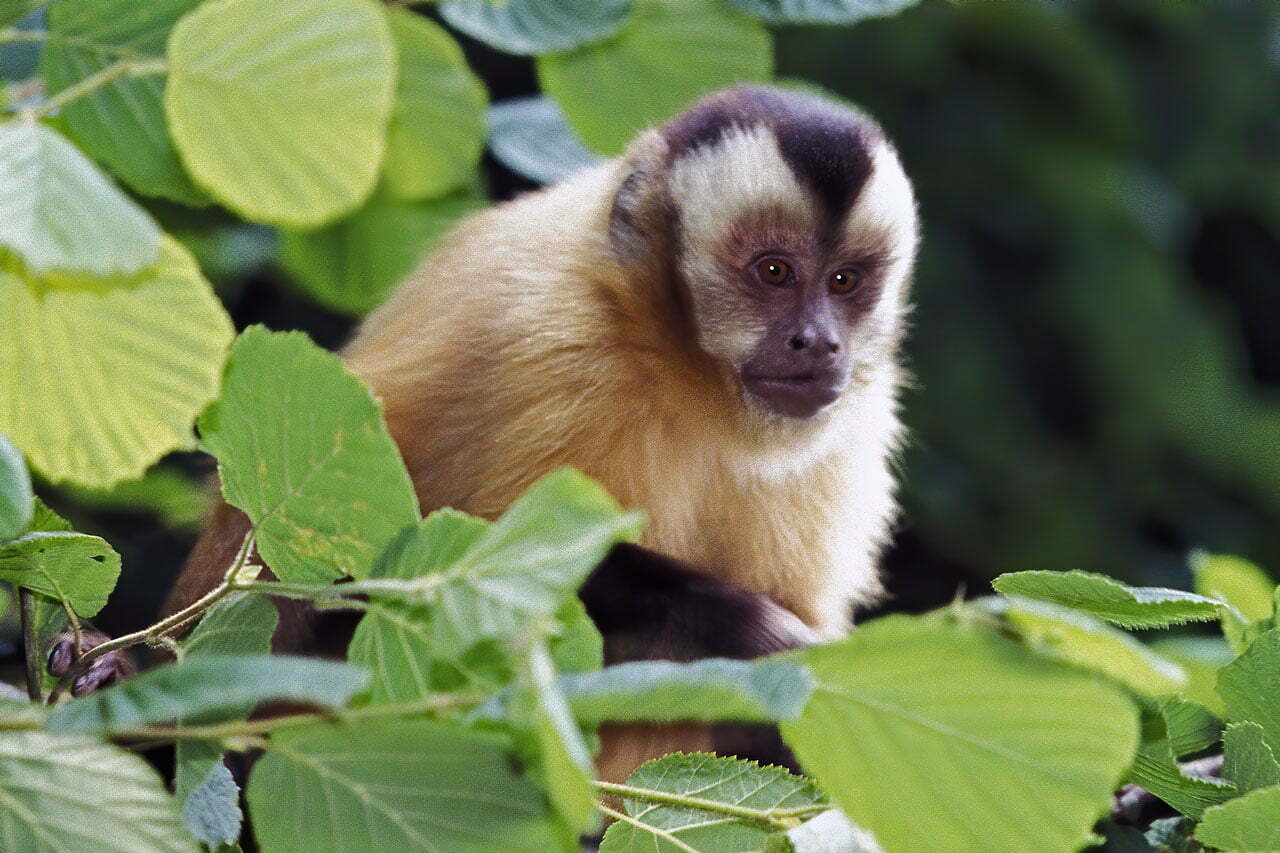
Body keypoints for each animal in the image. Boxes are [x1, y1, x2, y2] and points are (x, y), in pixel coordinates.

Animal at [52, 85, 919, 782]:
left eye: (845, 281)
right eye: (774, 272)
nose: (817, 341)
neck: (684, 368)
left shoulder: (853, 424)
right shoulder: (562, 346)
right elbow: (447, 560)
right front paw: (752, 637)